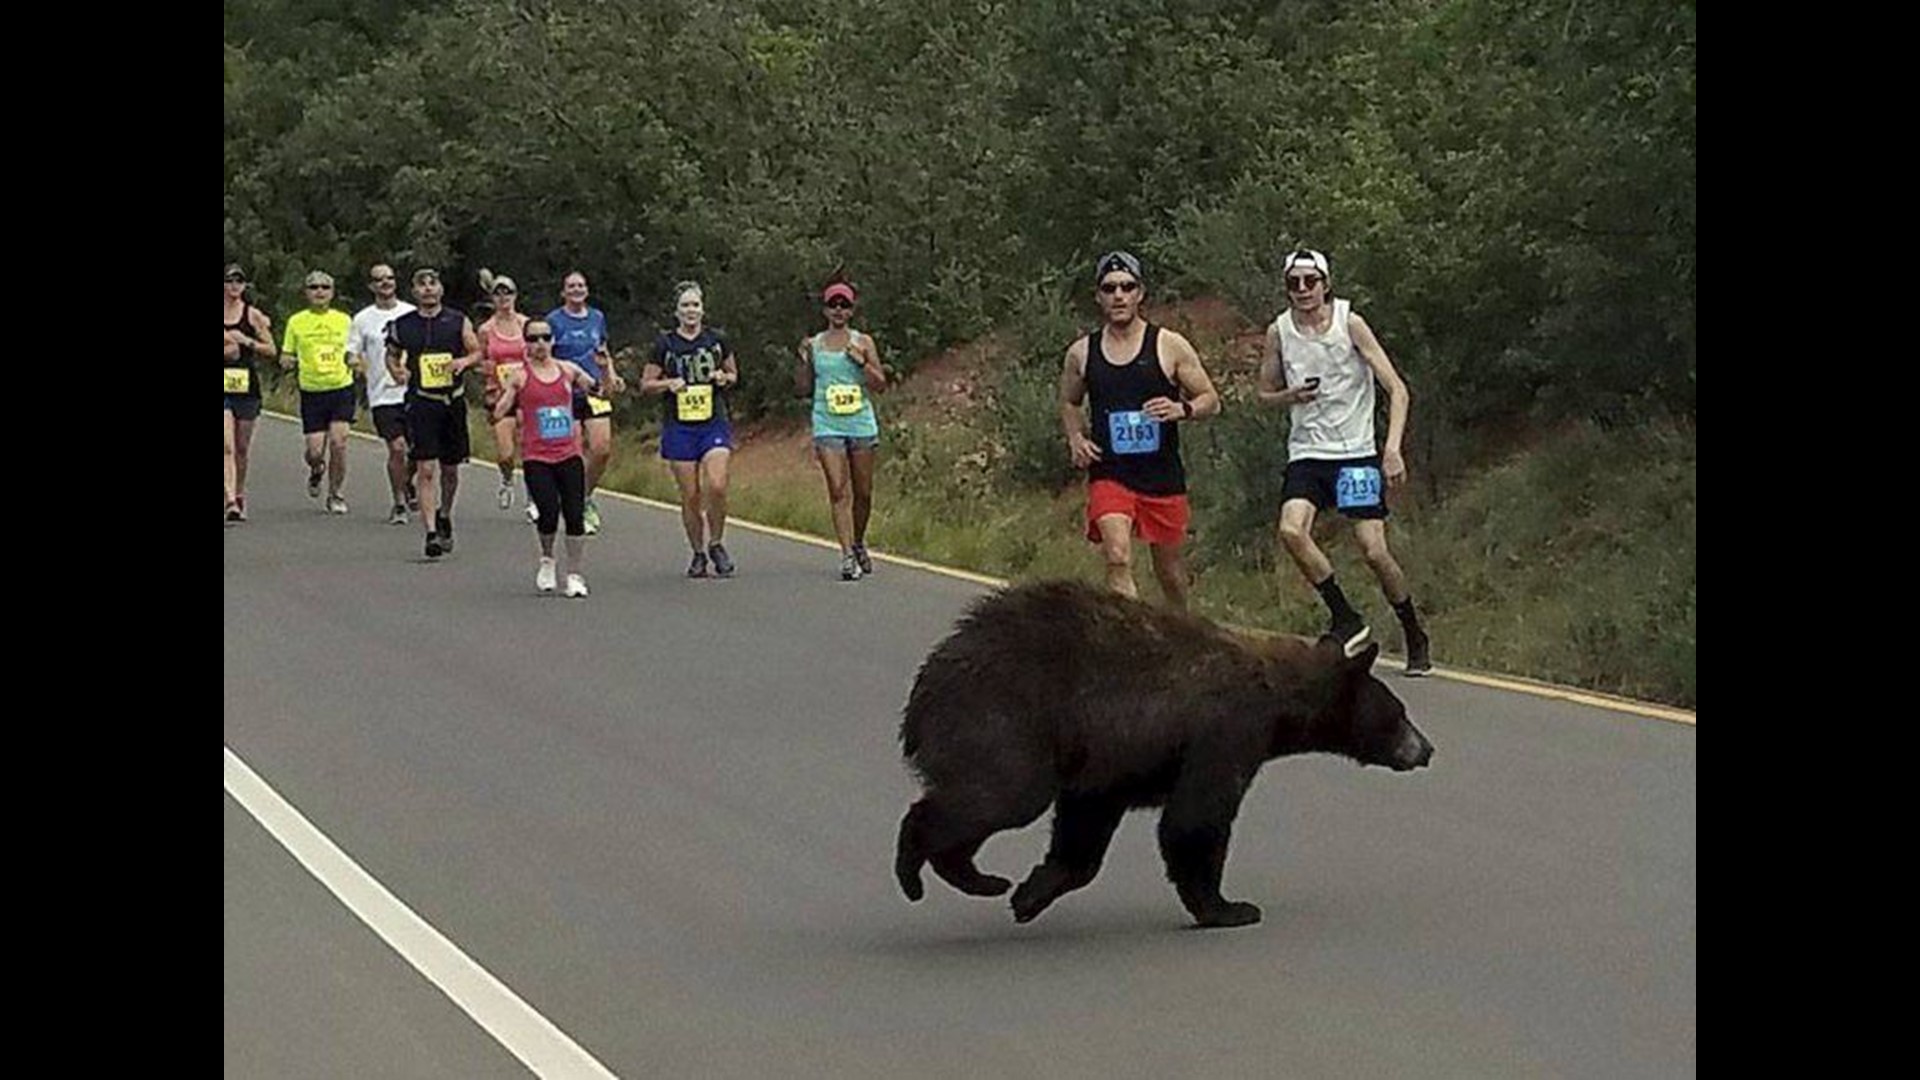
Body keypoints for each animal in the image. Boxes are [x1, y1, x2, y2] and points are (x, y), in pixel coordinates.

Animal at [894, 579, 1433, 928]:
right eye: (1399, 712)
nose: (1426, 748)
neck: (1281, 697)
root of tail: (922, 692)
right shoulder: (1226, 730)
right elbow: (1196, 819)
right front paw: (1229, 908)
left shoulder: (1112, 757)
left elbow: (1087, 822)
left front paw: (1034, 891)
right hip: (1003, 720)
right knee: (999, 795)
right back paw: (931, 872)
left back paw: (977, 878)